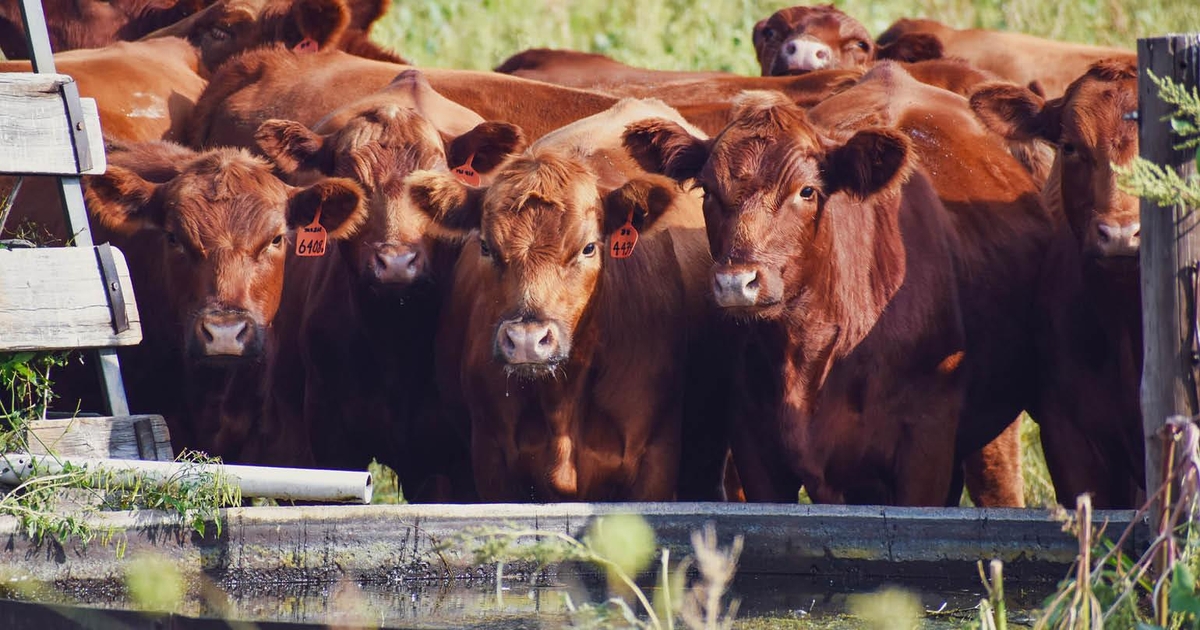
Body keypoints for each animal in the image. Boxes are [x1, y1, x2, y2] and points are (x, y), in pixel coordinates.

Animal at [404, 99, 729, 501]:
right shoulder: (491, 461)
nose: (527, 340)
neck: (563, 399)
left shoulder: (656, 462)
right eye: (486, 246)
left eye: (589, 247)